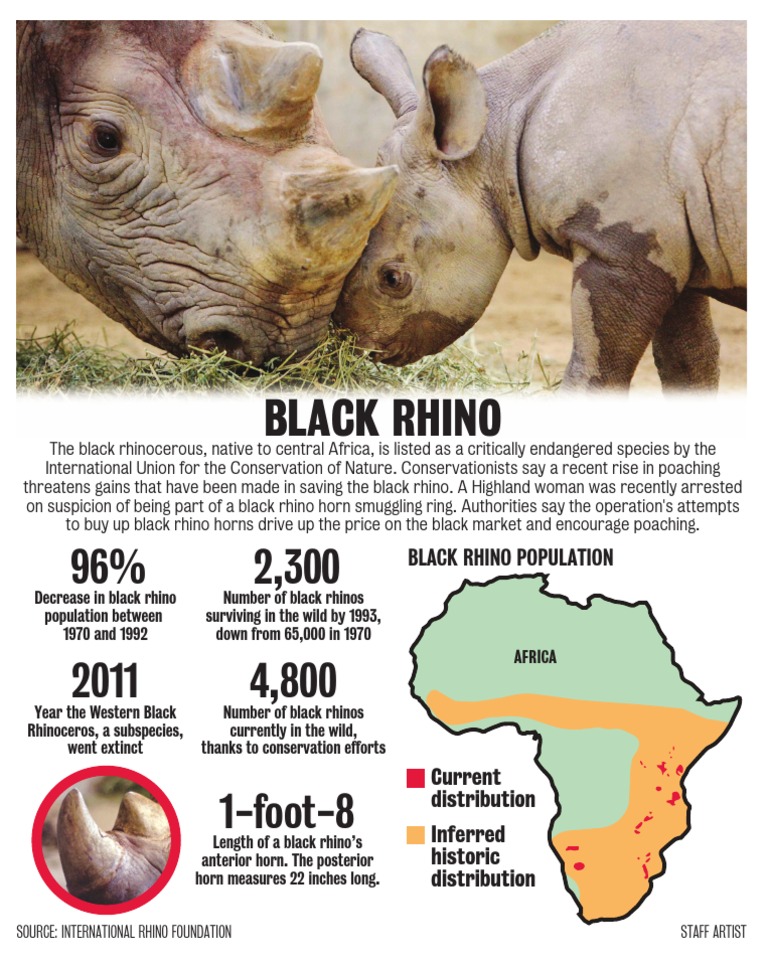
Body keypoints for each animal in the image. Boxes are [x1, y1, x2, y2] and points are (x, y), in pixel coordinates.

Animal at [335, 22, 746, 390]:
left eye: (392, 280)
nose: (359, 348)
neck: (495, 138)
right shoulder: (667, 241)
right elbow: (689, 361)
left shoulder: (619, 248)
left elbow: (595, 371)